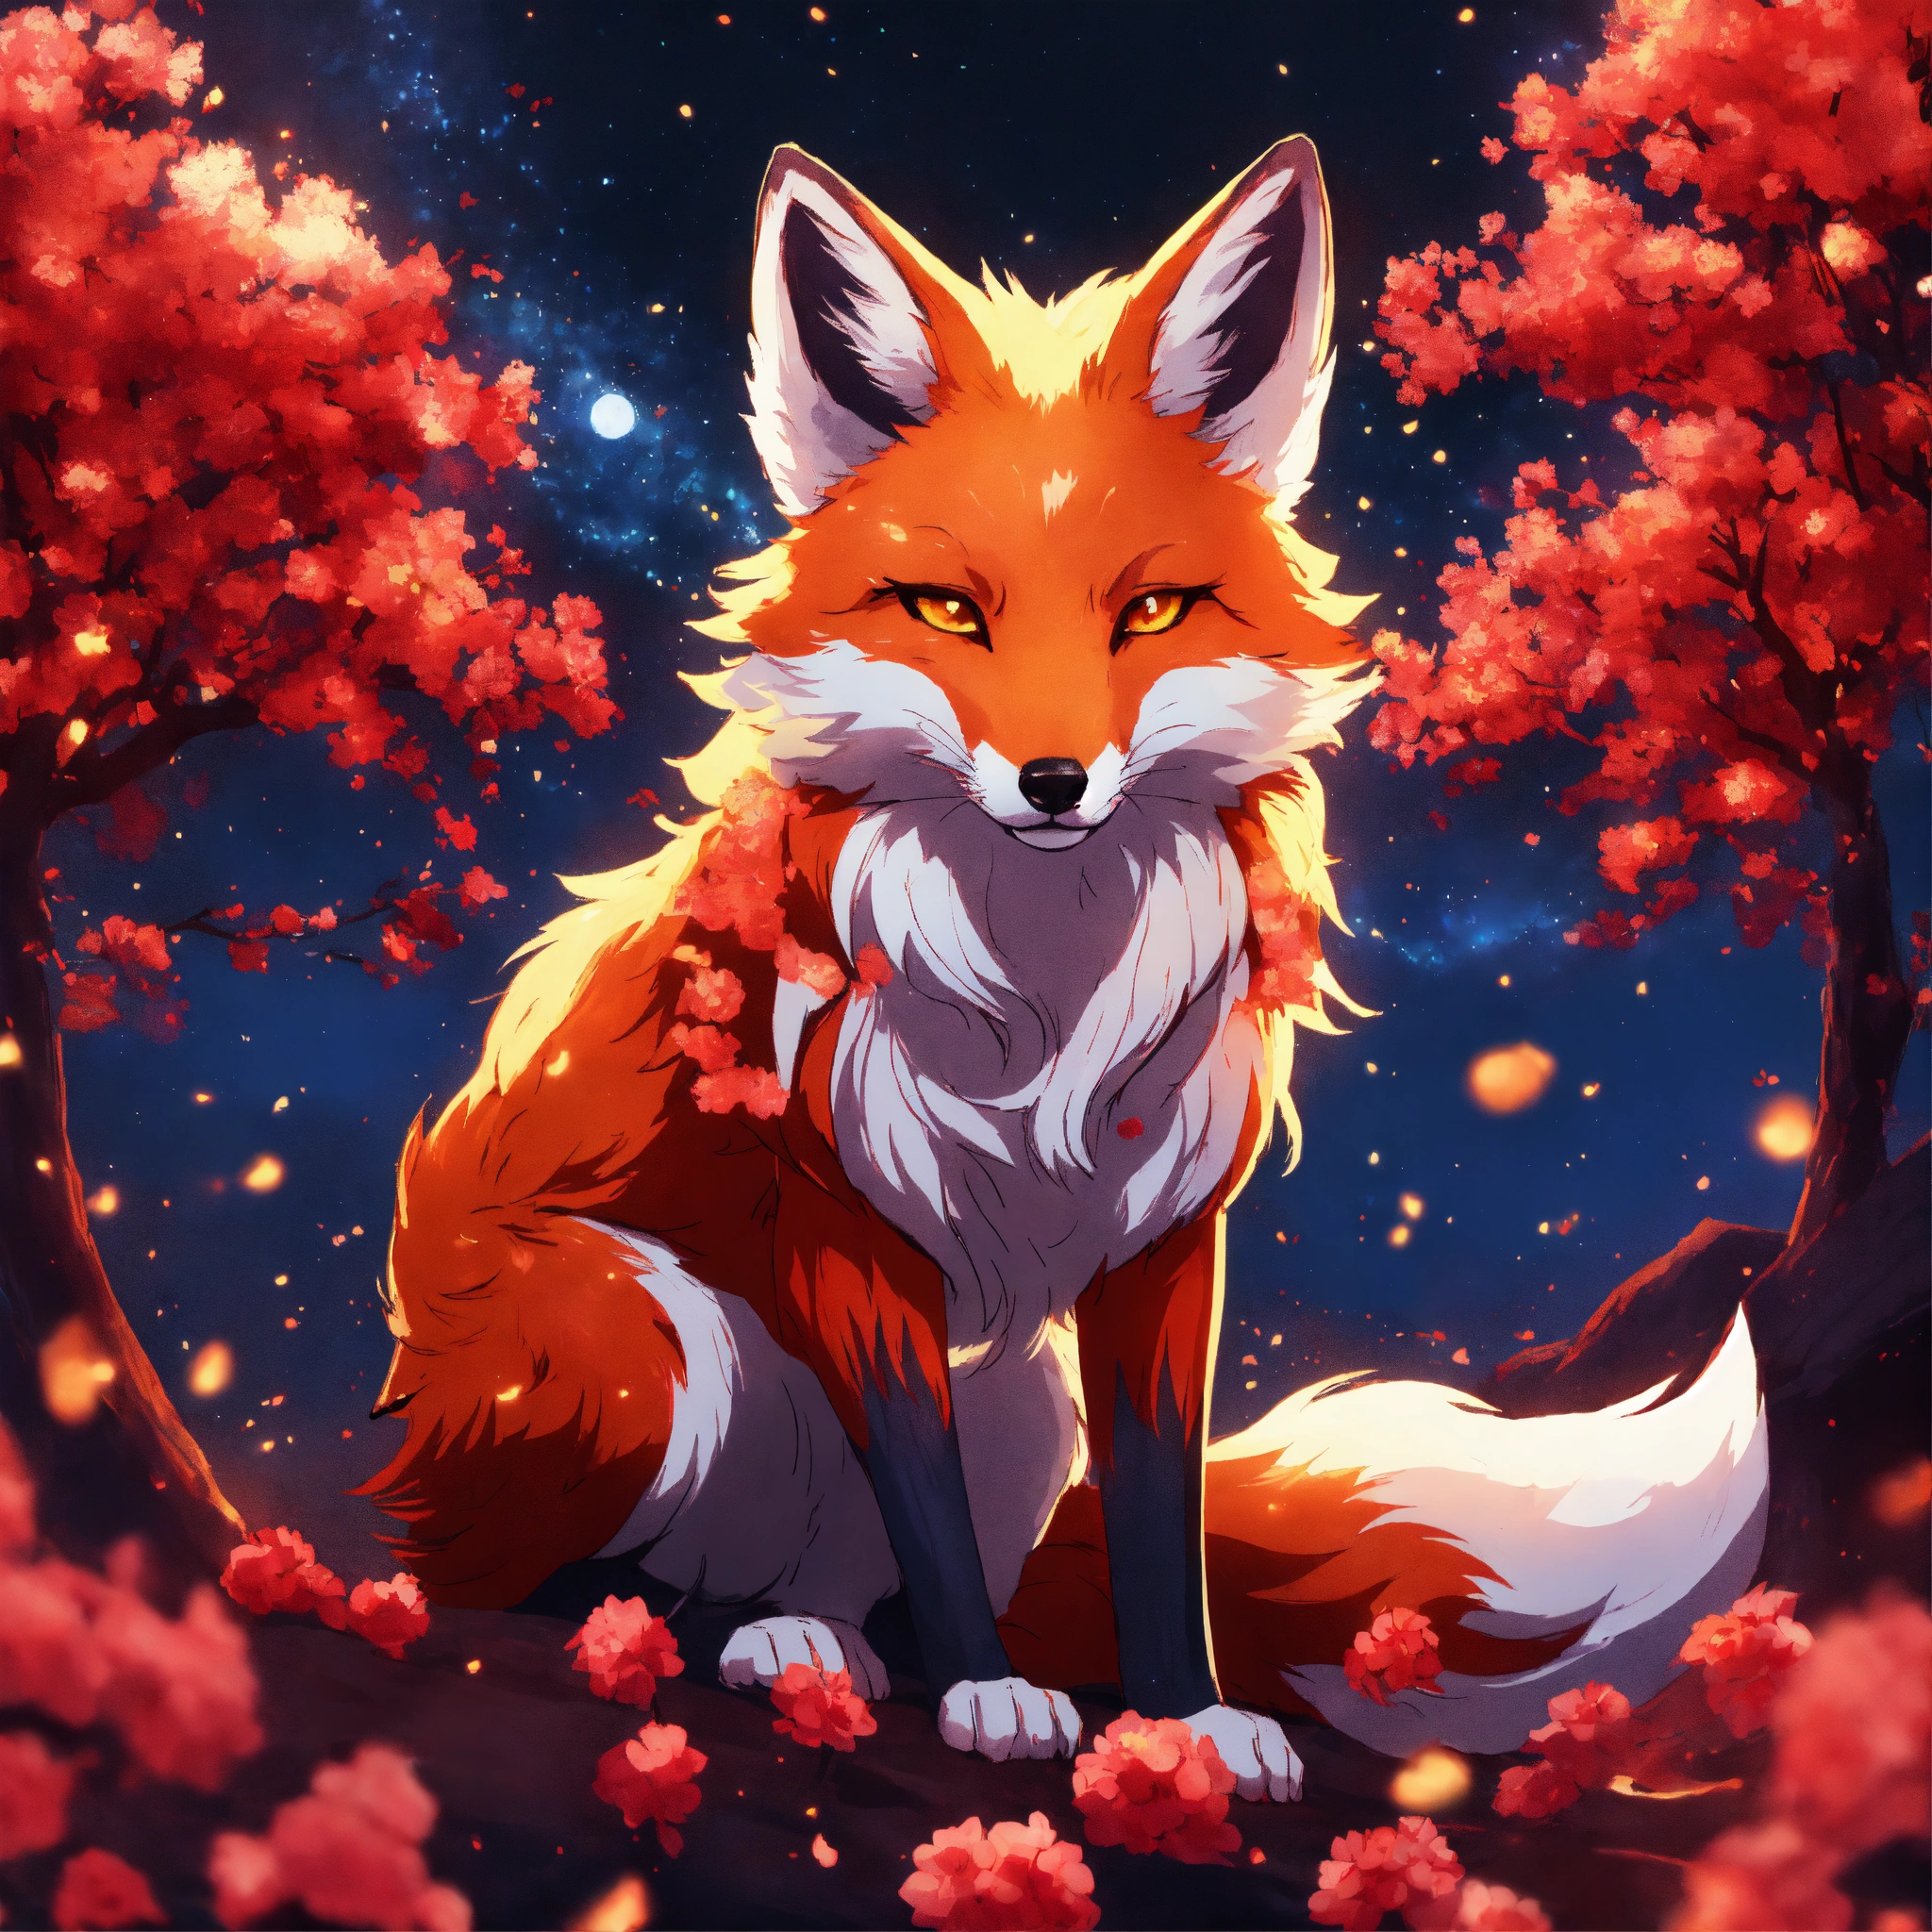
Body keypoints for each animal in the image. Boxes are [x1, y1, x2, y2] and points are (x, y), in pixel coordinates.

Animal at [355, 138, 1769, 1799]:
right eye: (948, 611)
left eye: (1147, 612)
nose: (1050, 782)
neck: (1044, 985)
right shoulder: (845, 1223)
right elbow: (923, 1496)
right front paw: (988, 1692)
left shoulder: (1163, 1236)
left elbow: (1159, 1516)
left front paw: (1182, 1717)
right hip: (639, 1336)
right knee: (541, 1579)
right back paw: (732, 1641)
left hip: (1016, 1391)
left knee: (846, 1576)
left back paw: (816, 1636)